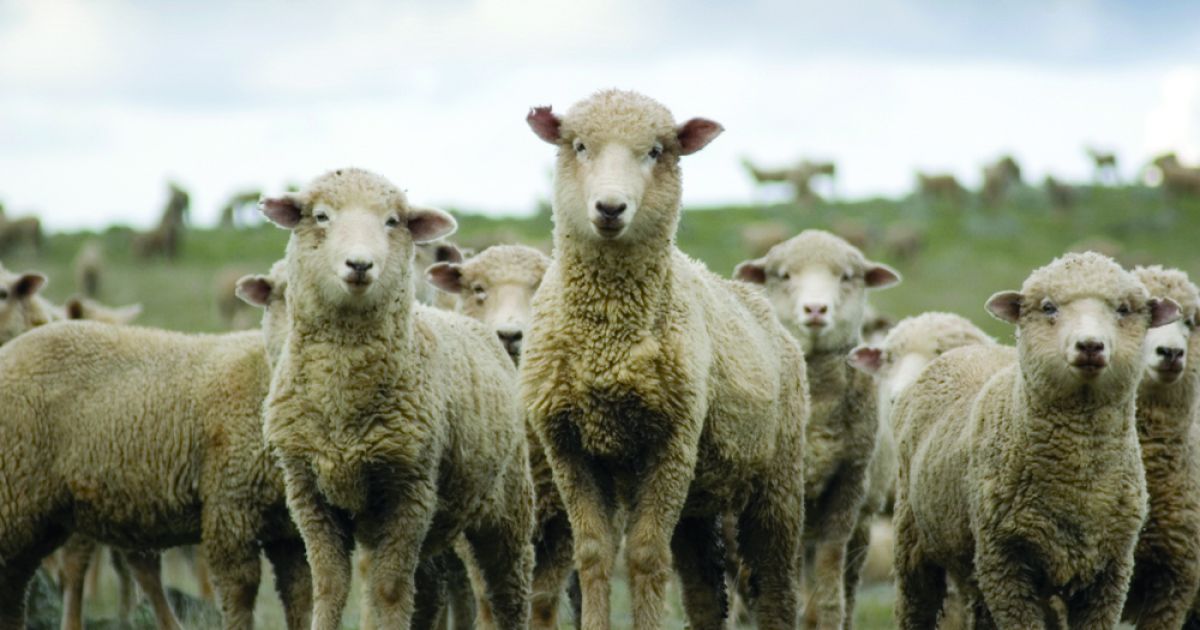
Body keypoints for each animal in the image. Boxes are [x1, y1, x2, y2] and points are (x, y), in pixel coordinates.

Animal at [0, 322, 313, 630]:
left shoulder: (288, 532)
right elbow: (241, 593)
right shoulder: (230, 509)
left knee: (14, 588)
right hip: (13, 496)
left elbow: (299, 598)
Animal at [258, 167, 534, 629]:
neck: (342, 402)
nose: (359, 264)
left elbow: (388, 592)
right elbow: (329, 588)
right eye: (321, 216)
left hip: (506, 511)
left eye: (392, 221)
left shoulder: (408, 492)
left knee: (508, 595)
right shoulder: (309, 494)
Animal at [523, 89, 809, 630]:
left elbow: (645, 556)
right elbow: (593, 554)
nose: (610, 207)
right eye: (579, 145)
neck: (608, 341)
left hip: (776, 479)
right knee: (704, 593)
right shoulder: (567, 445)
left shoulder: (671, 442)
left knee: (776, 586)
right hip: (700, 495)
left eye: (656, 151)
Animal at [734, 229, 900, 628]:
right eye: (784, 275)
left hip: (864, 519)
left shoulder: (848, 486)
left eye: (846, 277)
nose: (815, 310)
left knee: (848, 580)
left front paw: (827, 616)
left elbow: (829, 578)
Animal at [889, 252, 1180, 628]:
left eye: (1124, 309)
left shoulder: (1110, 572)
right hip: (914, 543)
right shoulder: (1006, 563)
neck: (1078, 483)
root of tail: (968, 350)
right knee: (915, 605)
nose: (1090, 345)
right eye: (1048, 307)